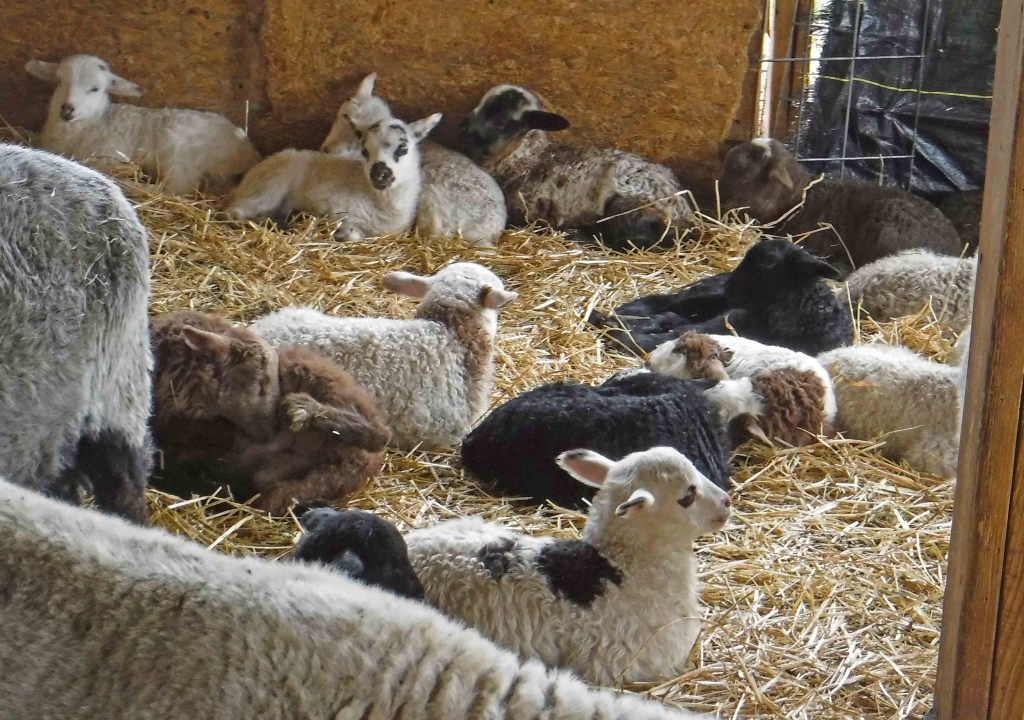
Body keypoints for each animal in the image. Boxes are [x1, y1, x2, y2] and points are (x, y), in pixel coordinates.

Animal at [25, 54, 260, 195]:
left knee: (174, 190)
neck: (95, 124)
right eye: (59, 81)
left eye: (95, 89)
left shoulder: (111, 156)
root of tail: (248, 153)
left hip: (179, 153)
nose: (67, 108)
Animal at [151, 310, 391, 513]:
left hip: (313, 374)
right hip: (300, 478)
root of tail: (363, 462)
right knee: (270, 497)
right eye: (261, 383)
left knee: (380, 434)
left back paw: (304, 409)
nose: (275, 427)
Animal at [228, 112, 442, 241]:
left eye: (403, 149)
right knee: (235, 212)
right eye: (364, 151)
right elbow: (353, 233)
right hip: (271, 184)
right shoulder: (329, 203)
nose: (379, 174)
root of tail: (247, 178)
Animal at [591, 239, 853, 356]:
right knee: (664, 303)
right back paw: (611, 317)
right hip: (703, 296)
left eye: (766, 263)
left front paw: (620, 336)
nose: (731, 287)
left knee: (670, 315)